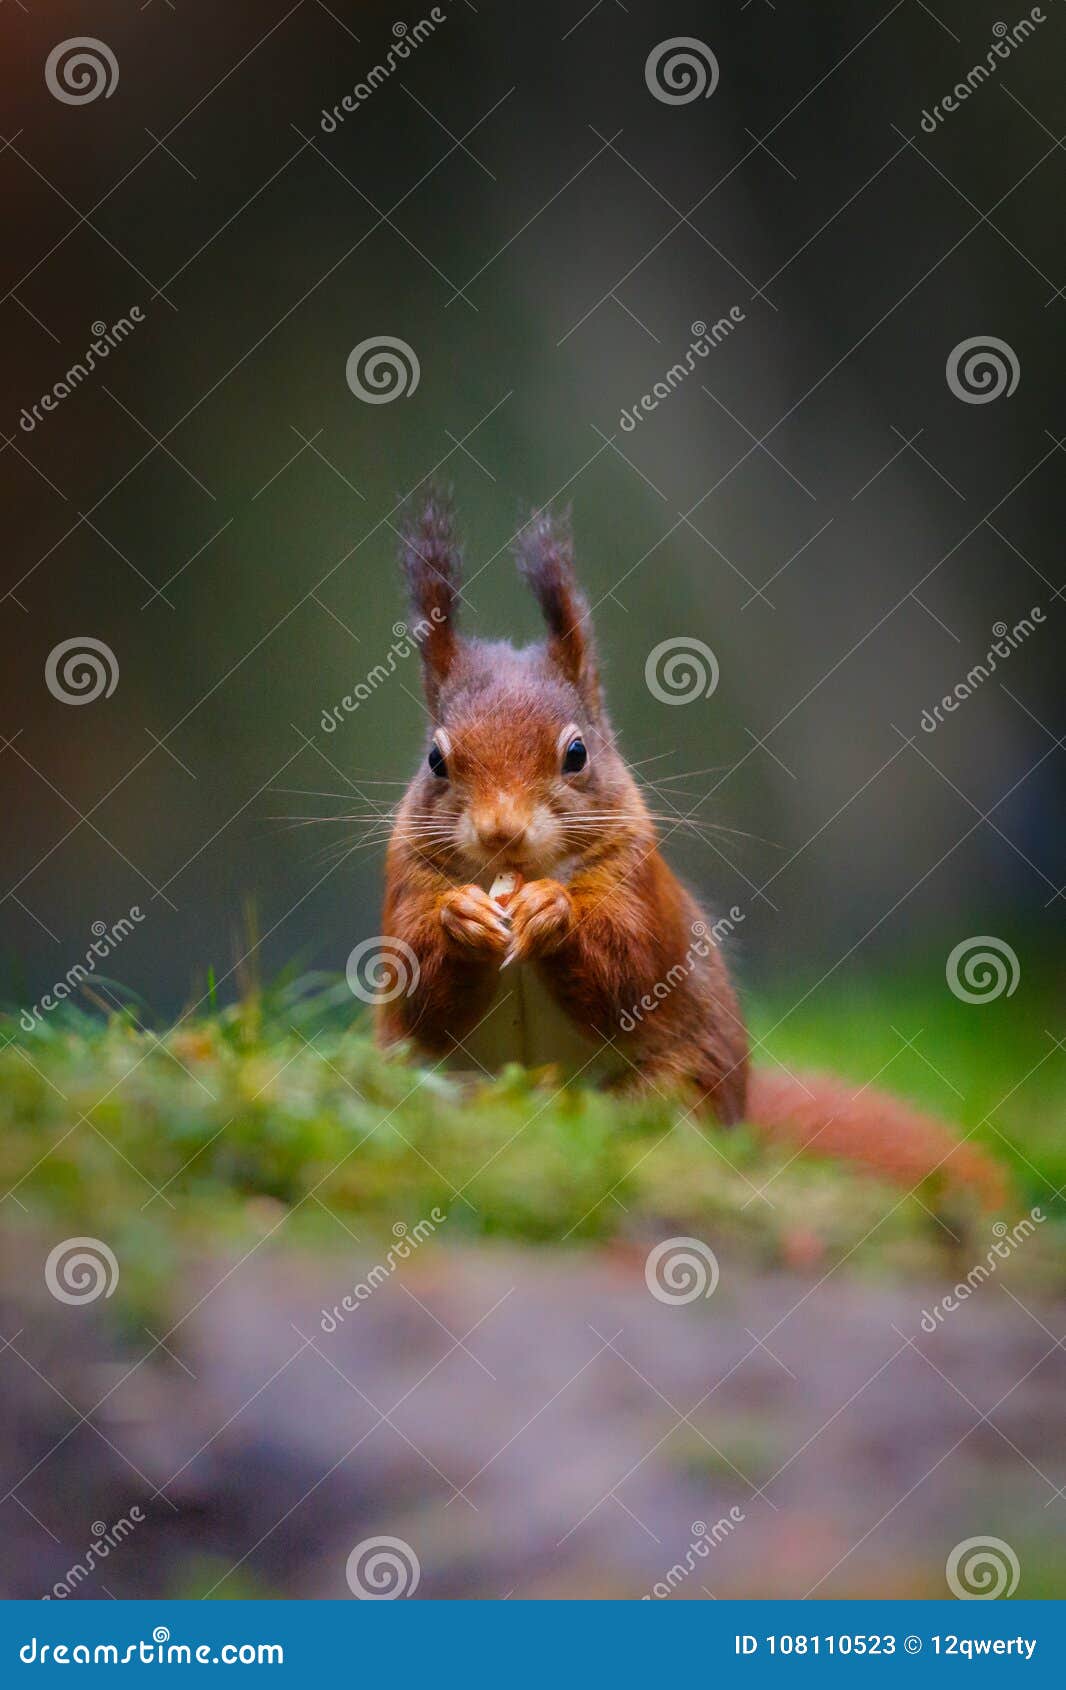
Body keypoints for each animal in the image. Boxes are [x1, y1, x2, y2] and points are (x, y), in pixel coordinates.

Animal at [376, 491, 1004, 1208]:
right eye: (436, 760)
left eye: (577, 753)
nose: (500, 832)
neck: (519, 871)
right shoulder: (406, 877)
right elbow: (416, 984)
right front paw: (461, 919)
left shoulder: (639, 879)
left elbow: (631, 964)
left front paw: (553, 912)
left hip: (676, 1089)